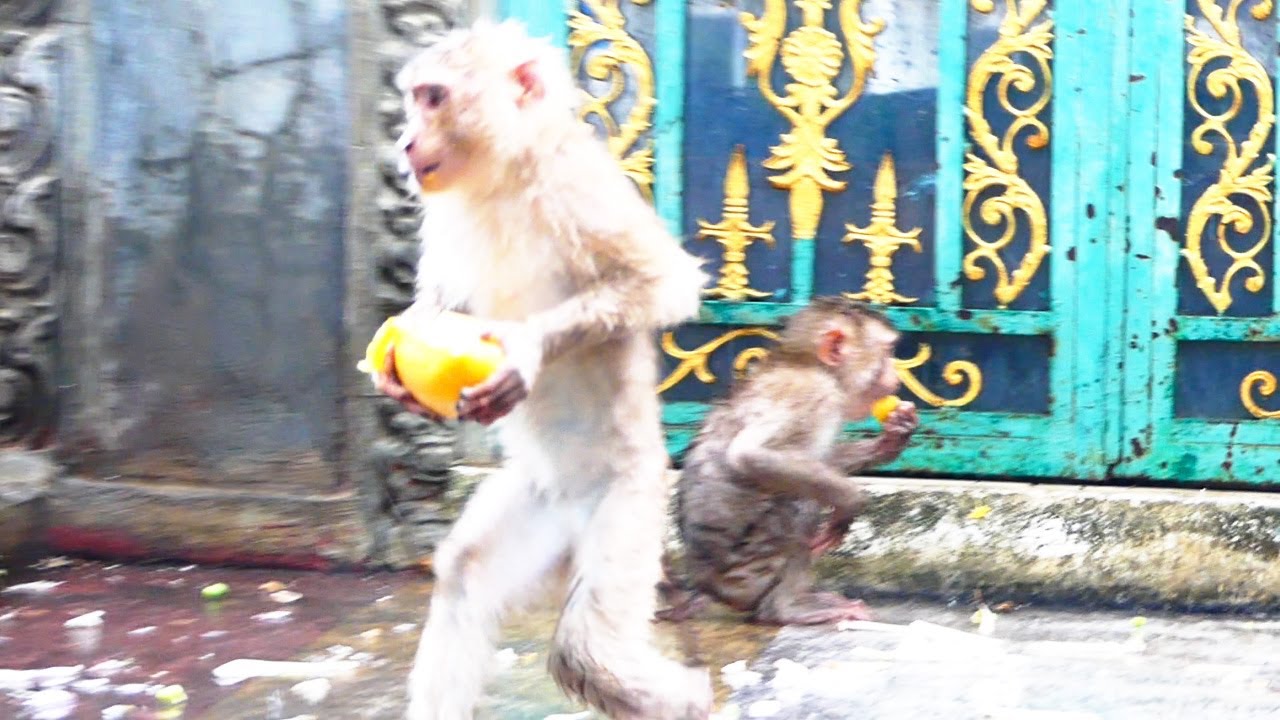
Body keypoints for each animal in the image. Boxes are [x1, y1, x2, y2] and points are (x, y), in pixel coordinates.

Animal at [374, 19, 713, 720]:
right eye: (414, 99)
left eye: (434, 97)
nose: (404, 140)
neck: (506, 174)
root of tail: (573, 512)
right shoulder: (446, 211)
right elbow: (437, 309)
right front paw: (395, 371)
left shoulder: (578, 186)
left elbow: (662, 282)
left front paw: (525, 349)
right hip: (538, 502)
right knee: (467, 575)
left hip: (628, 505)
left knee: (589, 651)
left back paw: (691, 697)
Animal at [656, 297, 919, 626]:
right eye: (887, 352)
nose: (895, 376)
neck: (808, 363)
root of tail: (705, 587)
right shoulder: (813, 394)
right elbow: (750, 455)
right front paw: (851, 500)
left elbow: (821, 458)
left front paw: (889, 442)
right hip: (745, 573)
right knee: (796, 503)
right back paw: (785, 608)